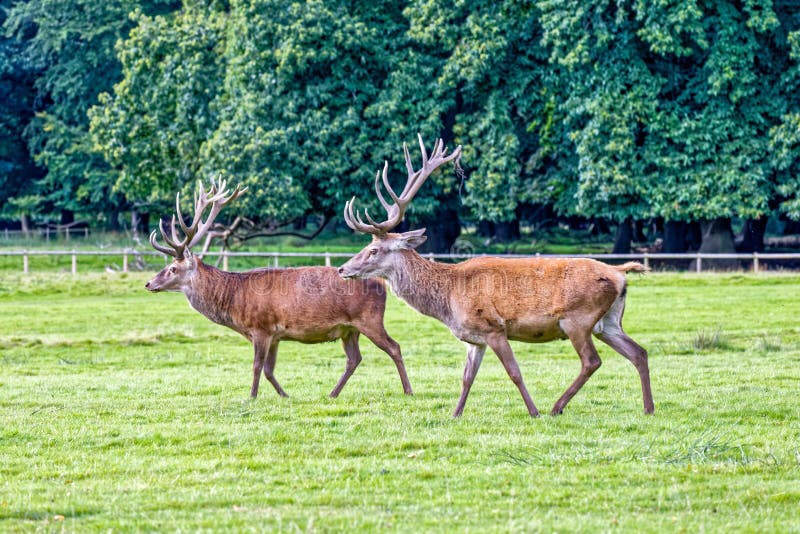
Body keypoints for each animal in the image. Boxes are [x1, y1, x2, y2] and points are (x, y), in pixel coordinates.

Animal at [145, 178, 413, 399]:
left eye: (172, 268)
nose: (148, 283)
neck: (234, 300)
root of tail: (381, 283)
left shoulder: (260, 327)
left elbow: (256, 366)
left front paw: (251, 397)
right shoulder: (275, 335)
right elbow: (269, 370)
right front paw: (285, 395)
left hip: (369, 319)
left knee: (394, 347)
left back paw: (408, 390)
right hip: (349, 329)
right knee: (354, 358)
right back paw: (332, 393)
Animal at [337, 135, 653, 417]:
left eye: (374, 249)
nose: (342, 269)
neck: (448, 299)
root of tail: (619, 273)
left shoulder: (493, 327)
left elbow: (514, 372)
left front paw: (533, 412)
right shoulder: (473, 338)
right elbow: (467, 377)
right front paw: (455, 415)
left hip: (577, 319)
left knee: (592, 361)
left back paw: (556, 407)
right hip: (608, 322)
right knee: (639, 352)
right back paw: (648, 408)